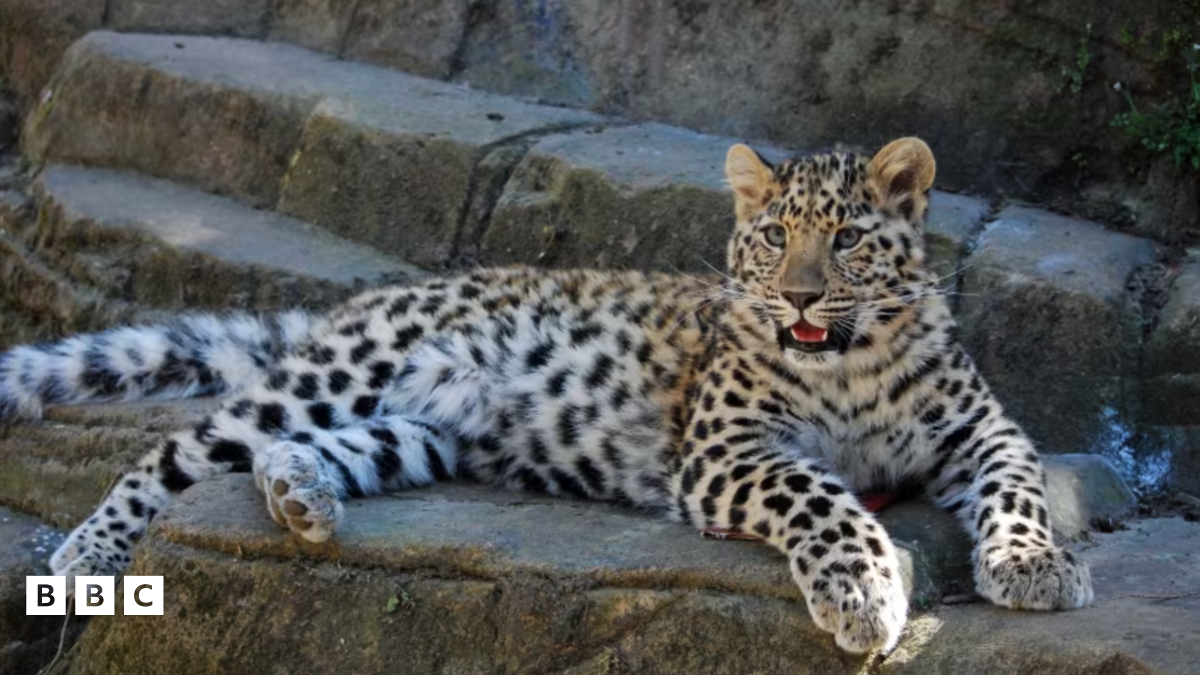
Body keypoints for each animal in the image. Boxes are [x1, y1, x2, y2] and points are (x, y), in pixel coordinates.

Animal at [0, 138, 1092, 654]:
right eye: (777, 236)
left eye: (850, 238)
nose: (799, 296)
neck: (851, 365)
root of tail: (379, 293)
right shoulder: (728, 450)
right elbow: (824, 499)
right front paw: (865, 596)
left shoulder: (980, 427)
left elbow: (1021, 481)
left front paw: (1035, 567)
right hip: (340, 372)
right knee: (176, 449)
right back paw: (90, 554)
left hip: (425, 430)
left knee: (317, 449)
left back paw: (302, 497)